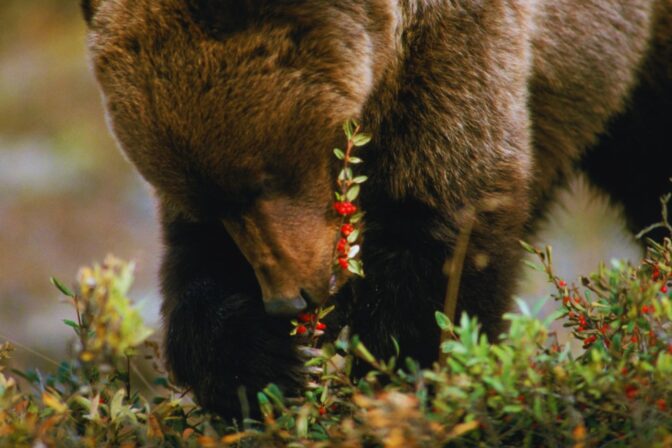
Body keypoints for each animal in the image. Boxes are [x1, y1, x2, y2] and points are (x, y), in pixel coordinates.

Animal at [81, 0, 672, 418]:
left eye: (262, 178)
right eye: (209, 199)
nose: (287, 299)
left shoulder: (450, 60)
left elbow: (441, 234)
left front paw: (397, 372)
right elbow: (197, 272)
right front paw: (258, 368)